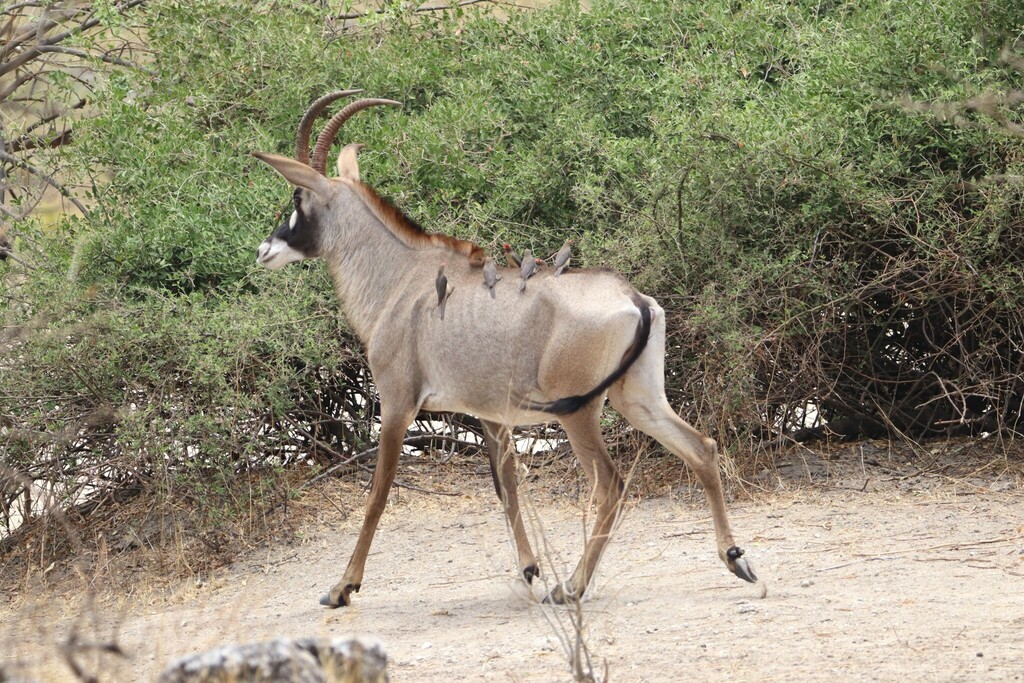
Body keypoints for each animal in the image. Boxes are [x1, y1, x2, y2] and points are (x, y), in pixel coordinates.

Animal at [252, 91, 760, 608]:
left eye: (297, 198)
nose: (264, 250)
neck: (402, 277)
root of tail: (635, 299)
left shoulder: (397, 404)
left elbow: (377, 495)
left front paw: (342, 587)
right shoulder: (491, 414)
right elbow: (507, 487)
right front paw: (529, 569)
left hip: (578, 412)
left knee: (610, 486)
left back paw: (571, 586)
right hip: (636, 397)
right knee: (701, 449)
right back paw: (735, 559)